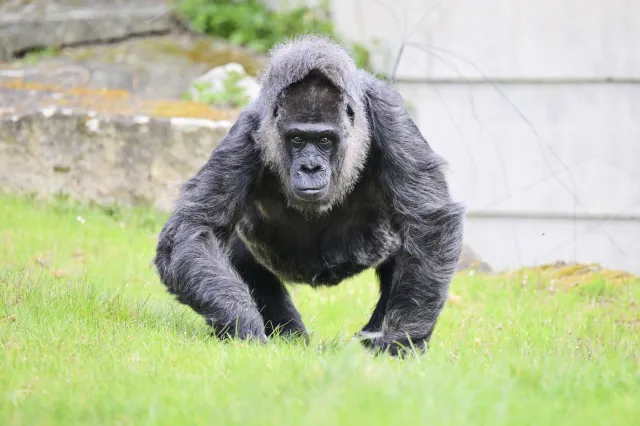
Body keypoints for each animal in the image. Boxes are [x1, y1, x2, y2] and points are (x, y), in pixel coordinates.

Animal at [153, 35, 465, 356]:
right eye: (297, 139)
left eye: (325, 140)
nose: (310, 167)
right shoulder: (247, 134)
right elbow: (195, 229)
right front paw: (242, 324)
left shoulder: (391, 119)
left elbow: (428, 222)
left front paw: (401, 340)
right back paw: (288, 334)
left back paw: (372, 339)